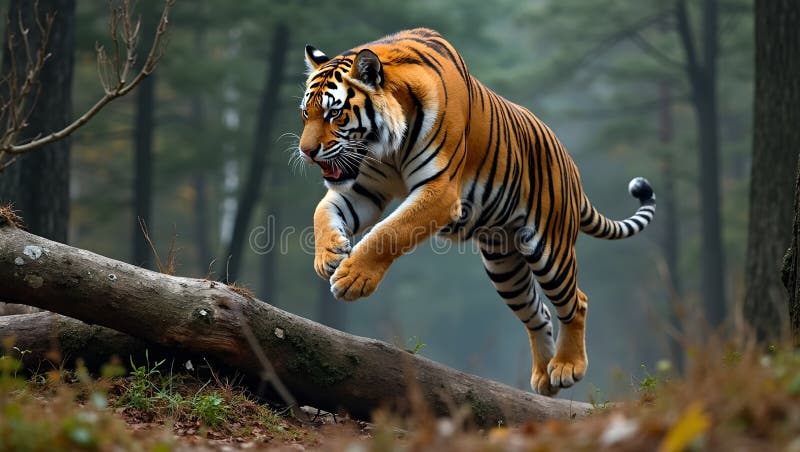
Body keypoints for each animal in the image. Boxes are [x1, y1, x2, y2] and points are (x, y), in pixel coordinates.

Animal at [297, 28, 655, 396]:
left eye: (334, 114)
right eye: (306, 114)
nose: (306, 152)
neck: (388, 149)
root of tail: (570, 164)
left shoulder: (440, 191)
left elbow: (390, 231)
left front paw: (353, 279)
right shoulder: (364, 188)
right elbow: (321, 213)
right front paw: (329, 256)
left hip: (549, 250)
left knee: (576, 301)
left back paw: (568, 367)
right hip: (504, 266)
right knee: (538, 312)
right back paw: (544, 378)